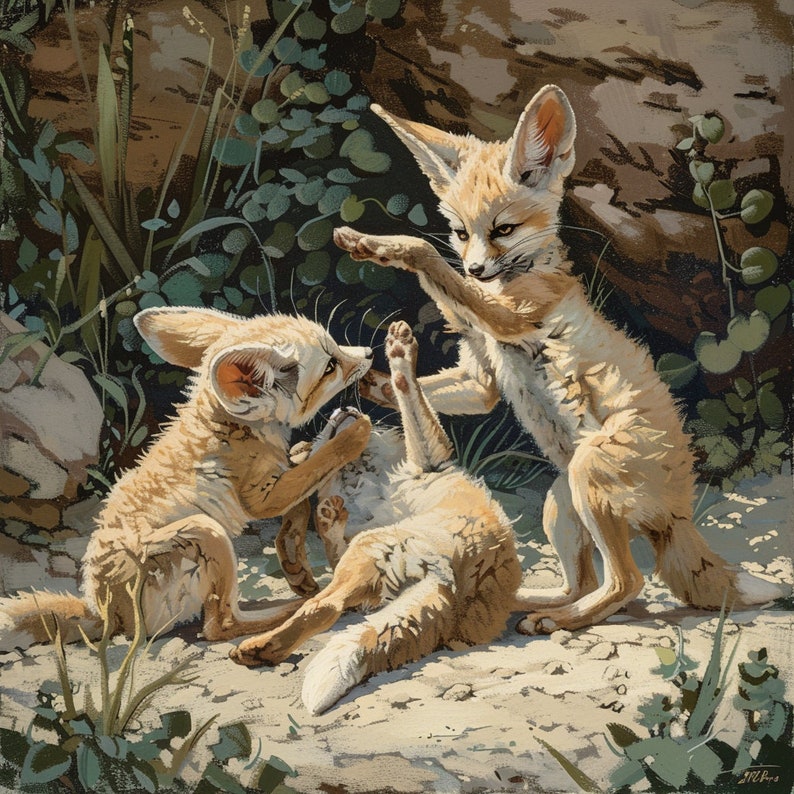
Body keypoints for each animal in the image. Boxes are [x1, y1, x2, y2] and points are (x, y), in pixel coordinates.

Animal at [0, 306, 374, 651]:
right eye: (331, 366)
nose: (369, 353)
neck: (229, 424)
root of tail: (104, 613)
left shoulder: (278, 479)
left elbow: (303, 478)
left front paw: (295, 564)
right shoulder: (260, 498)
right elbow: (317, 467)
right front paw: (353, 435)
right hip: (207, 534)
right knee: (220, 625)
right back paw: (292, 609)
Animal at [228, 321, 523, 716]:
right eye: (323, 431)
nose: (343, 407)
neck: (369, 475)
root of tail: (455, 593)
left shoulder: (429, 463)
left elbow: (408, 397)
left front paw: (397, 359)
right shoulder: (426, 462)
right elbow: (408, 393)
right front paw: (400, 360)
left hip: (373, 560)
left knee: (330, 605)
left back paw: (263, 647)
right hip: (373, 553)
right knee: (325, 606)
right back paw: (261, 646)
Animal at [332, 83, 788, 636]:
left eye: (503, 229)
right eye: (462, 232)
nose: (476, 269)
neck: (517, 279)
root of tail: (679, 511)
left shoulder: (508, 320)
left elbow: (427, 256)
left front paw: (386, 248)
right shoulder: (481, 377)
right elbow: (440, 371)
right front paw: (369, 377)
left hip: (588, 477)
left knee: (626, 583)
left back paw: (562, 620)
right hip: (562, 503)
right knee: (585, 582)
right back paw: (538, 605)